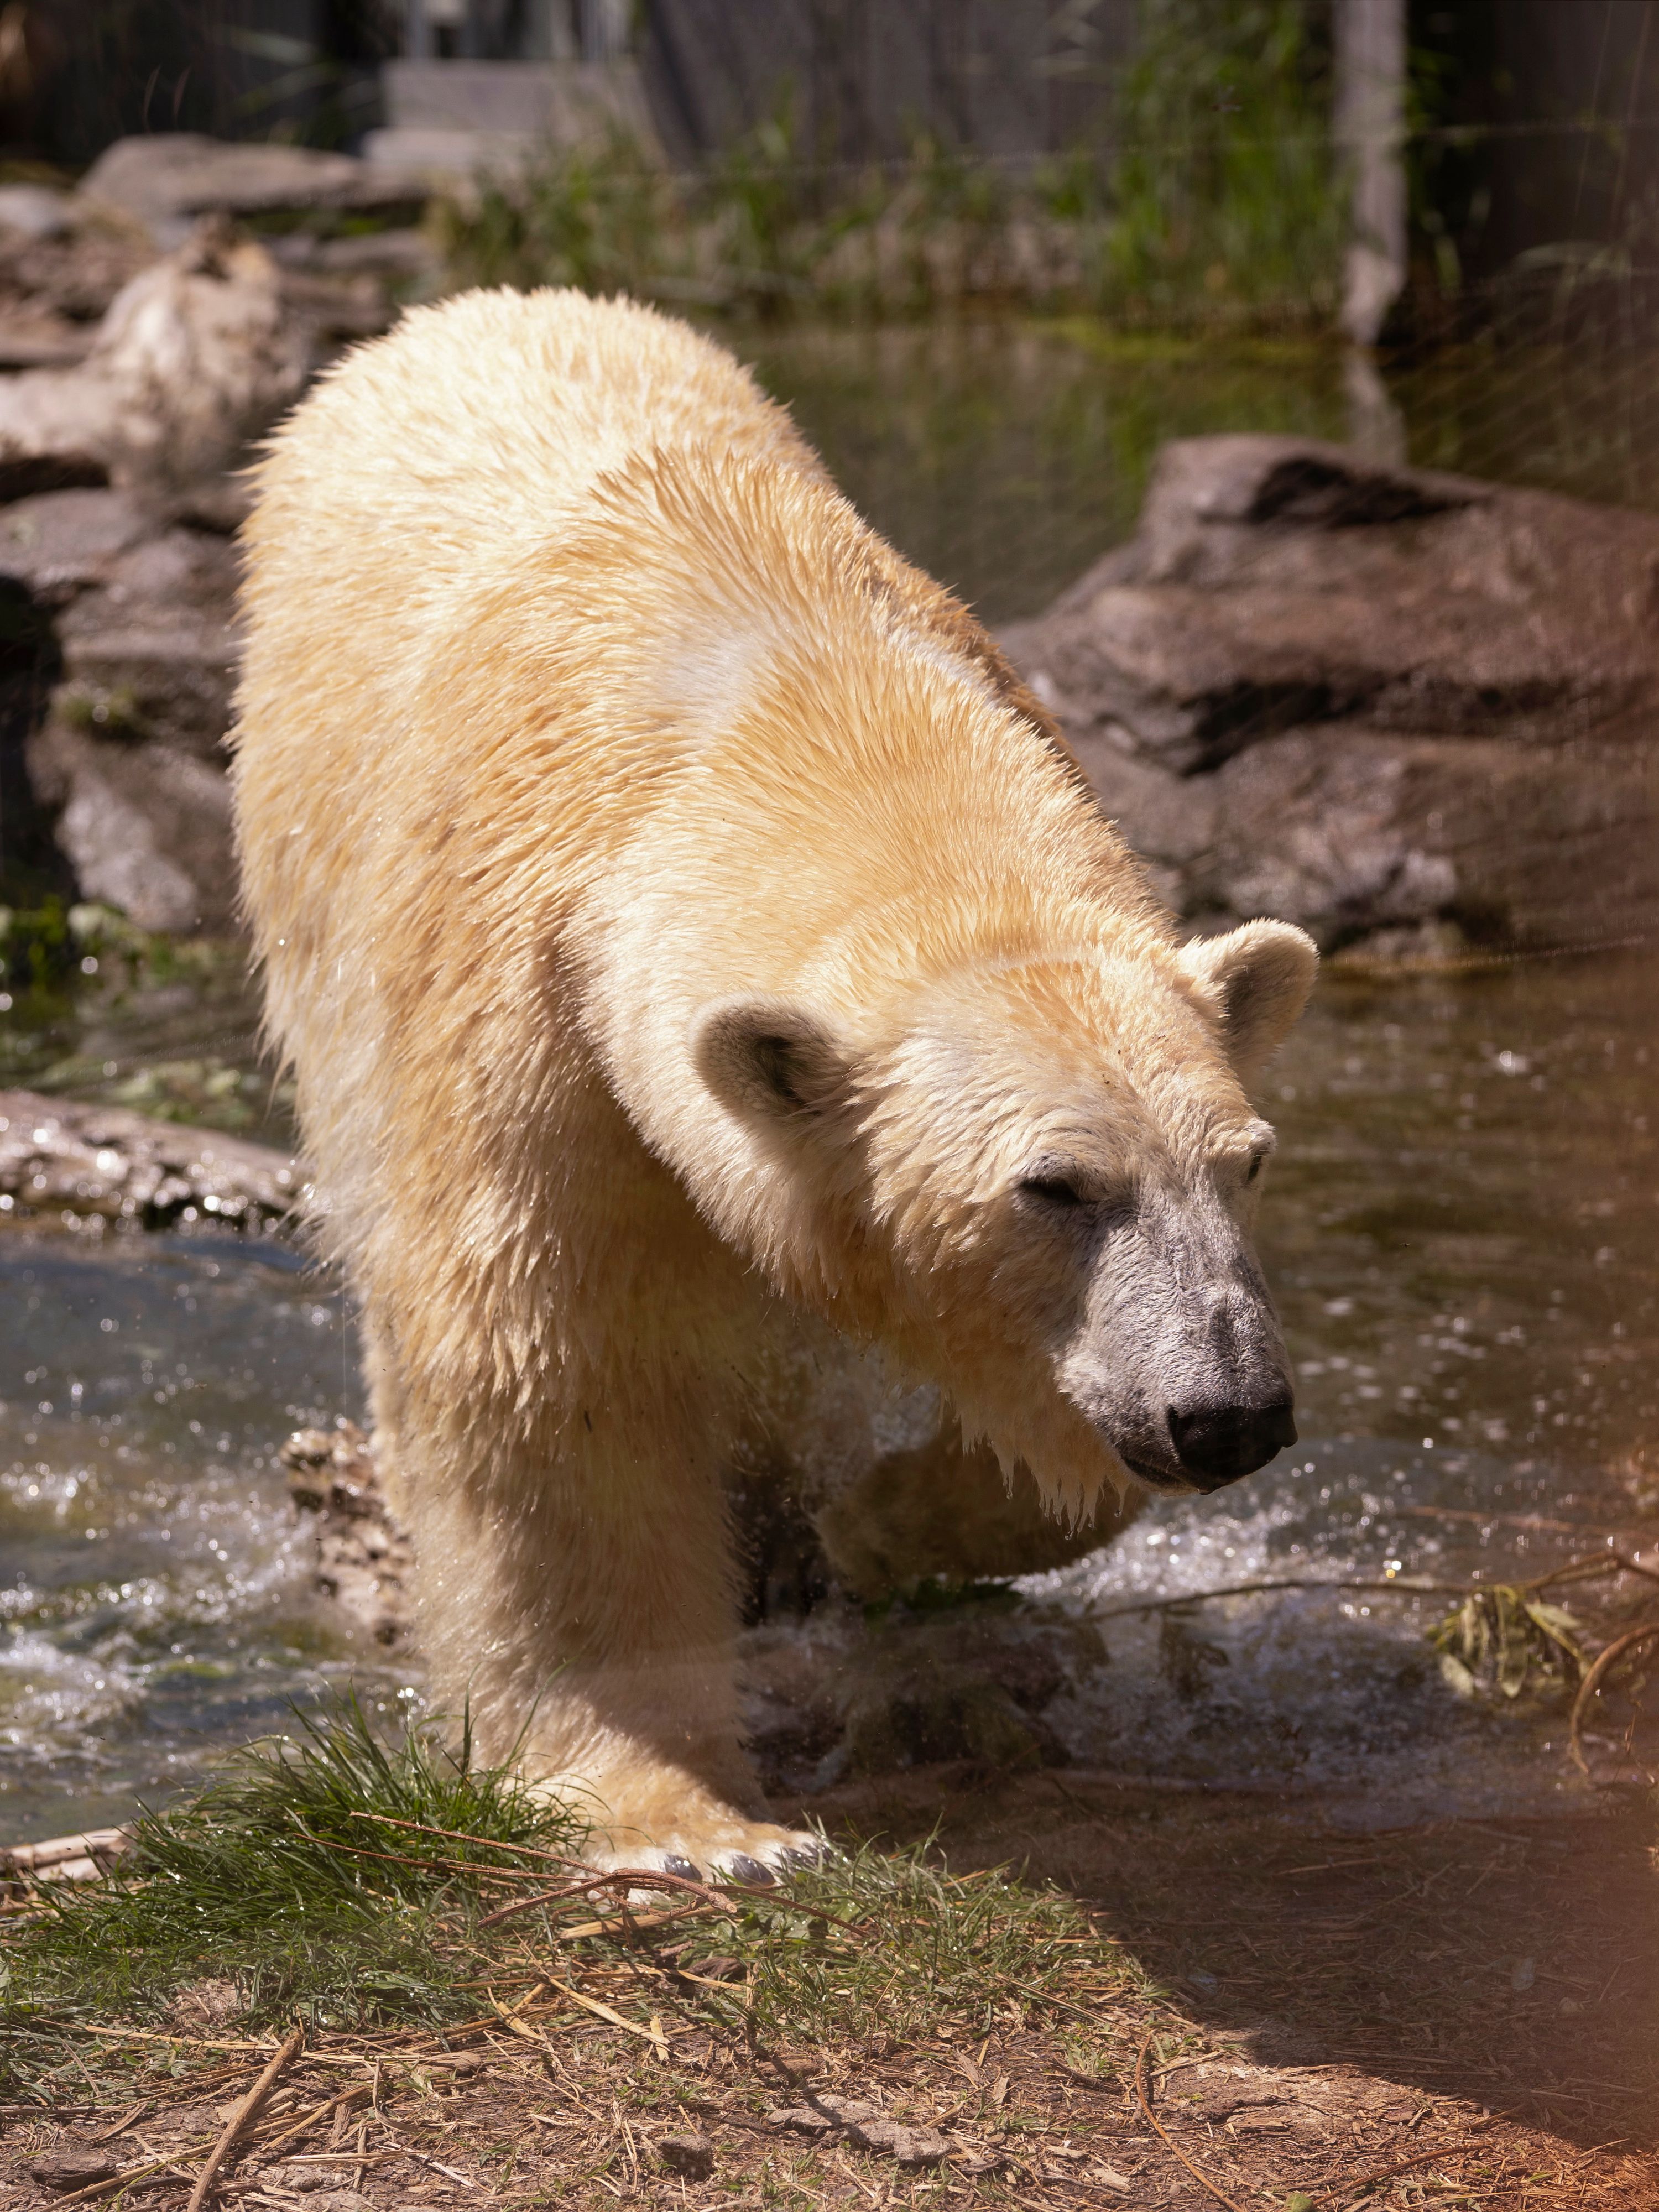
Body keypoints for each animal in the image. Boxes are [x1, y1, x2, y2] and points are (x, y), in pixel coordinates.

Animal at [231, 289, 1316, 1878]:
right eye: (1053, 1186)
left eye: (1245, 1159)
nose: (1228, 1413)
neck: (791, 699)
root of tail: (471, 309)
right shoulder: (531, 1018)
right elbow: (550, 1371)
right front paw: (682, 1817)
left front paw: (879, 1525)